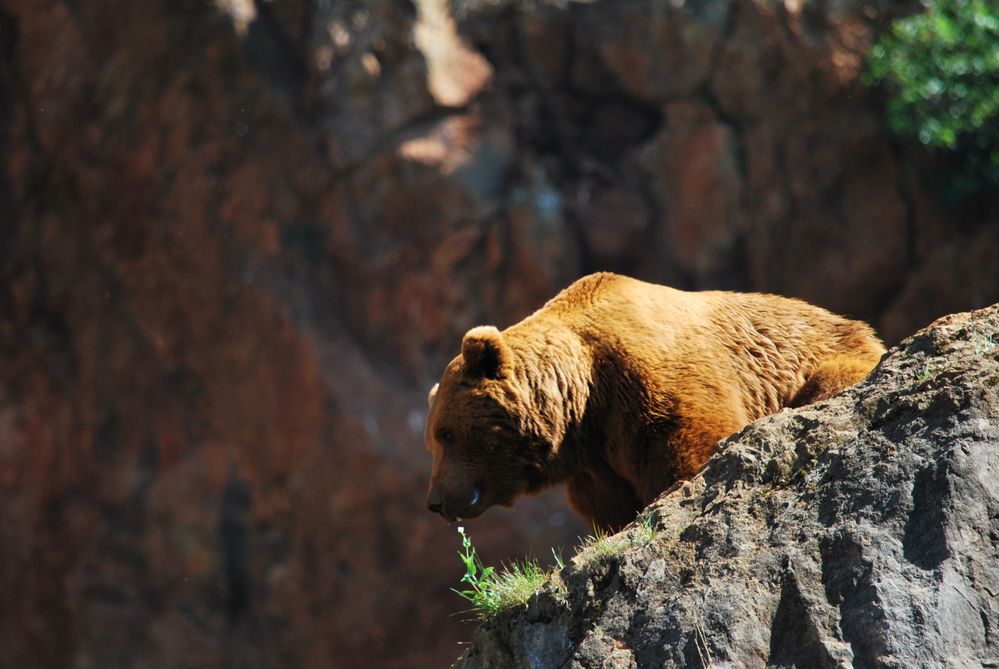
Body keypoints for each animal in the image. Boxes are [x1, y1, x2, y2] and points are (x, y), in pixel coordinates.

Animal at [424, 272, 885, 531]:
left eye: (446, 434)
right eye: (433, 441)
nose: (435, 502)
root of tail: (866, 329)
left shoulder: (652, 382)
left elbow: (691, 446)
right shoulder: (597, 465)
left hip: (834, 356)